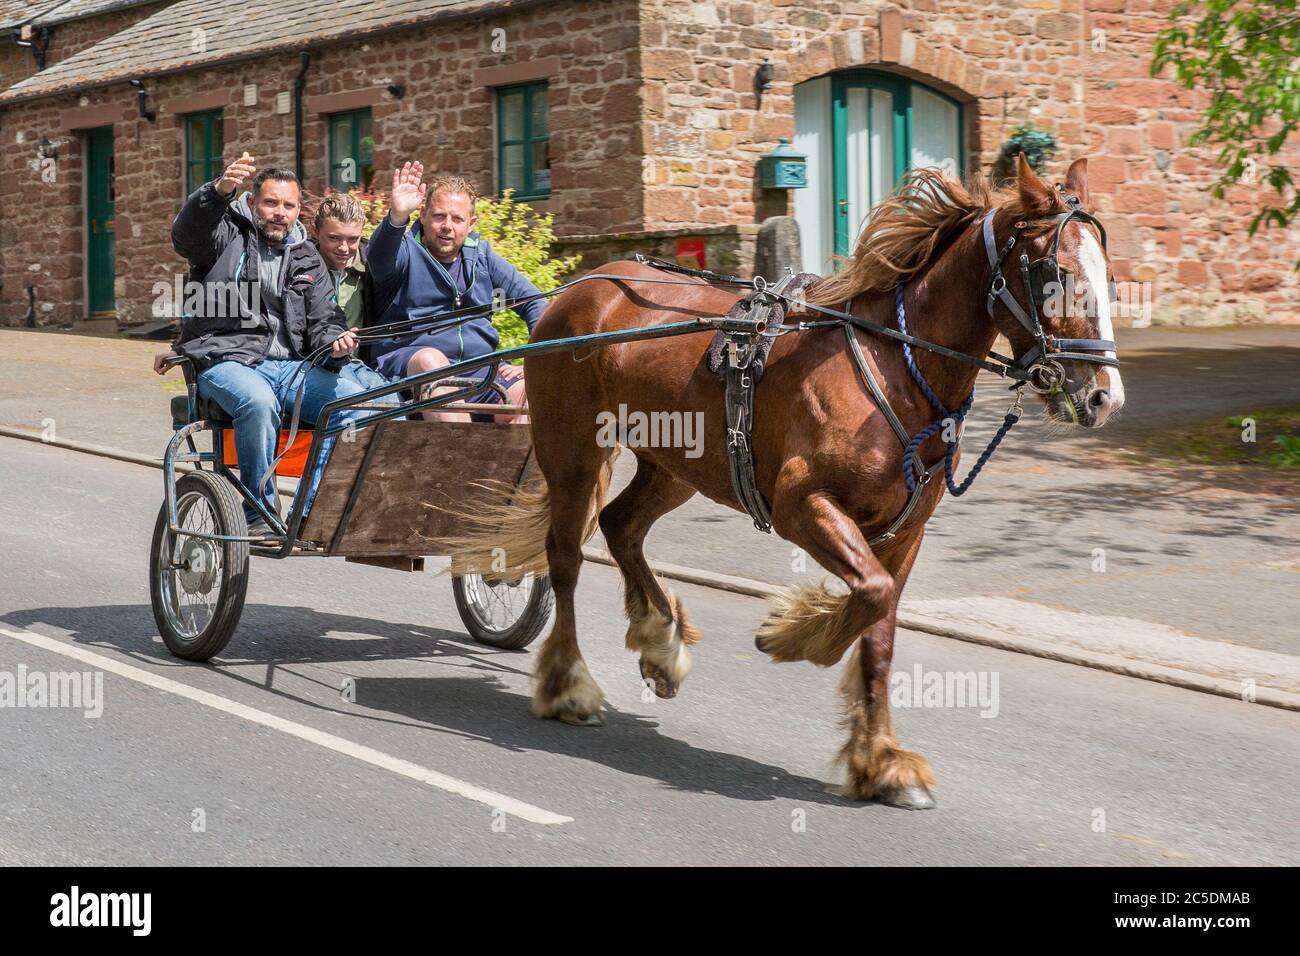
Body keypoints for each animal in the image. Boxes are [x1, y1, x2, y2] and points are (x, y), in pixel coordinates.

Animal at [448, 154, 1124, 809]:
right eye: (1055, 273)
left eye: (1109, 277)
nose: (1104, 397)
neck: (893, 362)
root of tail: (580, 290)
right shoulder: (803, 505)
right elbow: (868, 595)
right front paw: (797, 635)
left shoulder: (905, 531)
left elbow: (880, 630)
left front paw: (880, 761)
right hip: (573, 453)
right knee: (564, 557)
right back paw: (568, 684)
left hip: (680, 464)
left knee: (621, 527)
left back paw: (660, 639)